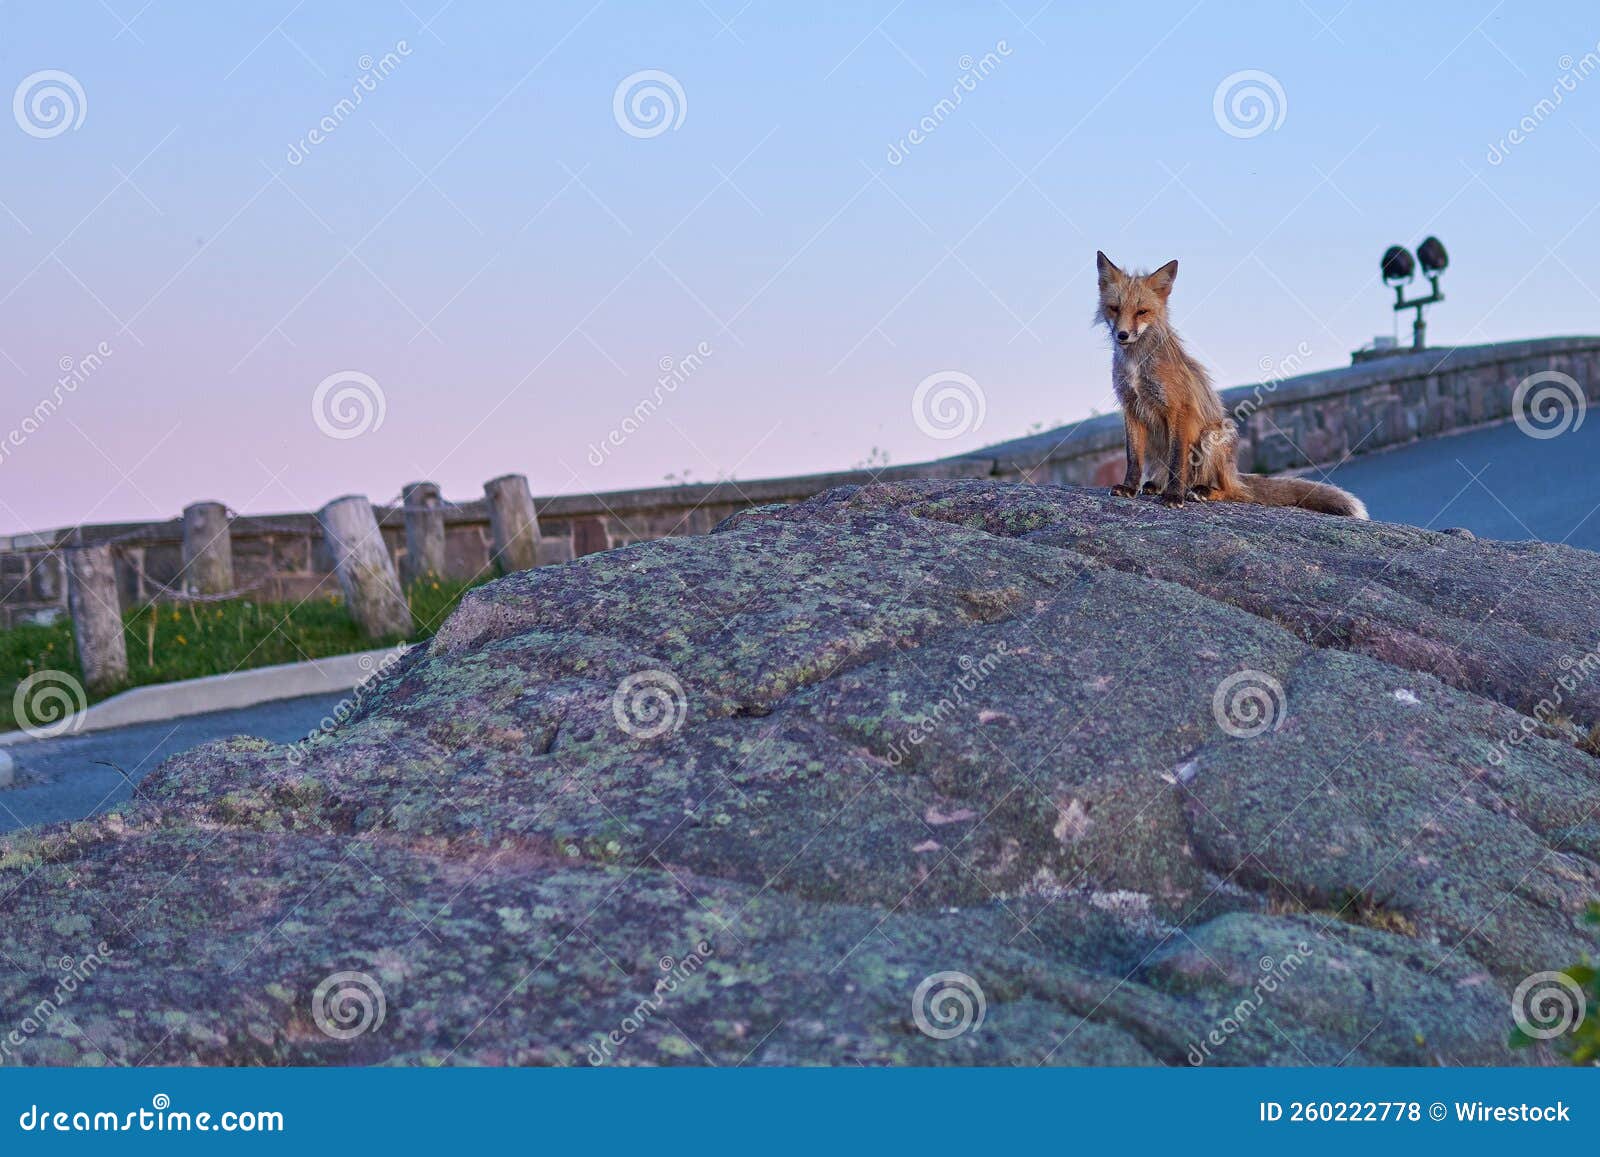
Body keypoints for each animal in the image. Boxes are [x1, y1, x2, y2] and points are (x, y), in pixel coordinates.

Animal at [1094, 251, 1367, 518]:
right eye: (1114, 308)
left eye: (1142, 312)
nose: (1122, 335)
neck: (1137, 365)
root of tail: (1233, 473)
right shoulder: (1131, 407)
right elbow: (1133, 459)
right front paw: (1129, 487)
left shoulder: (1179, 409)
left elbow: (1176, 461)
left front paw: (1173, 496)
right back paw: (1156, 486)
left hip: (1212, 436)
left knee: (1231, 492)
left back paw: (1200, 491)